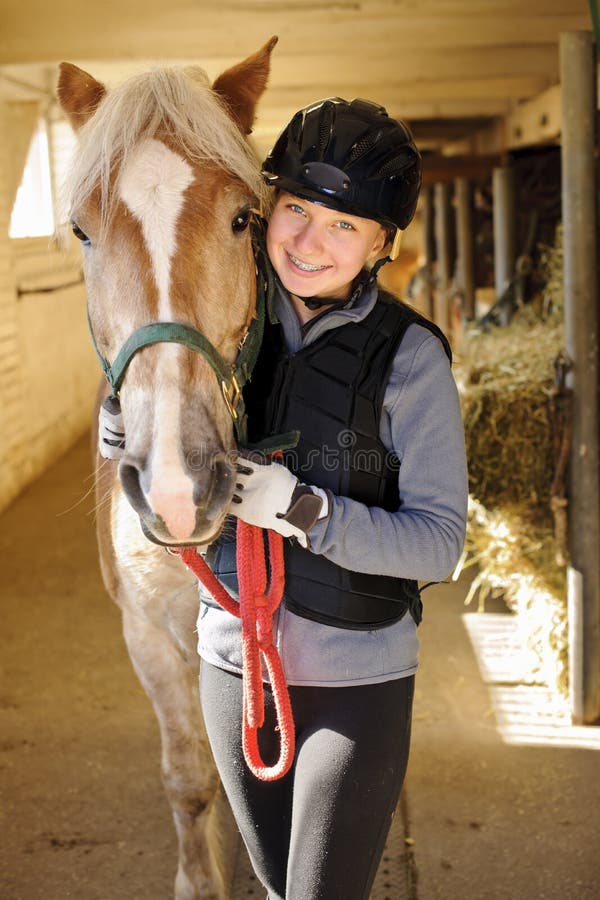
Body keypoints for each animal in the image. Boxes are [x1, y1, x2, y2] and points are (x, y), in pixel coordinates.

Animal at [57, 37, 278, 900]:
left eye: (244, 218)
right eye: (81, 232)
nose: (180, 488)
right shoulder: (147, 634)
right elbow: (189, 778)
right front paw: (199, 878)